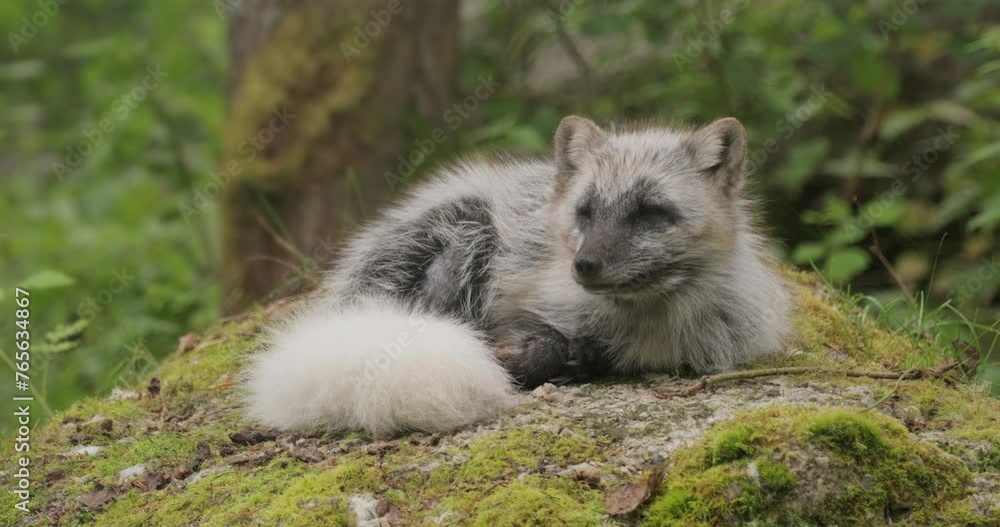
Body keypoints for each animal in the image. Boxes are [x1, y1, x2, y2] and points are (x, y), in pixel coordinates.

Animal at [244, 116, 791, 436]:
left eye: (650, 212)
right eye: (585, 212)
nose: (583, 265)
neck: (646, 324)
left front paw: (576, 358)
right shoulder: (518, 304)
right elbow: (540, 342)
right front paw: (526, 359)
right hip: (467, 232)